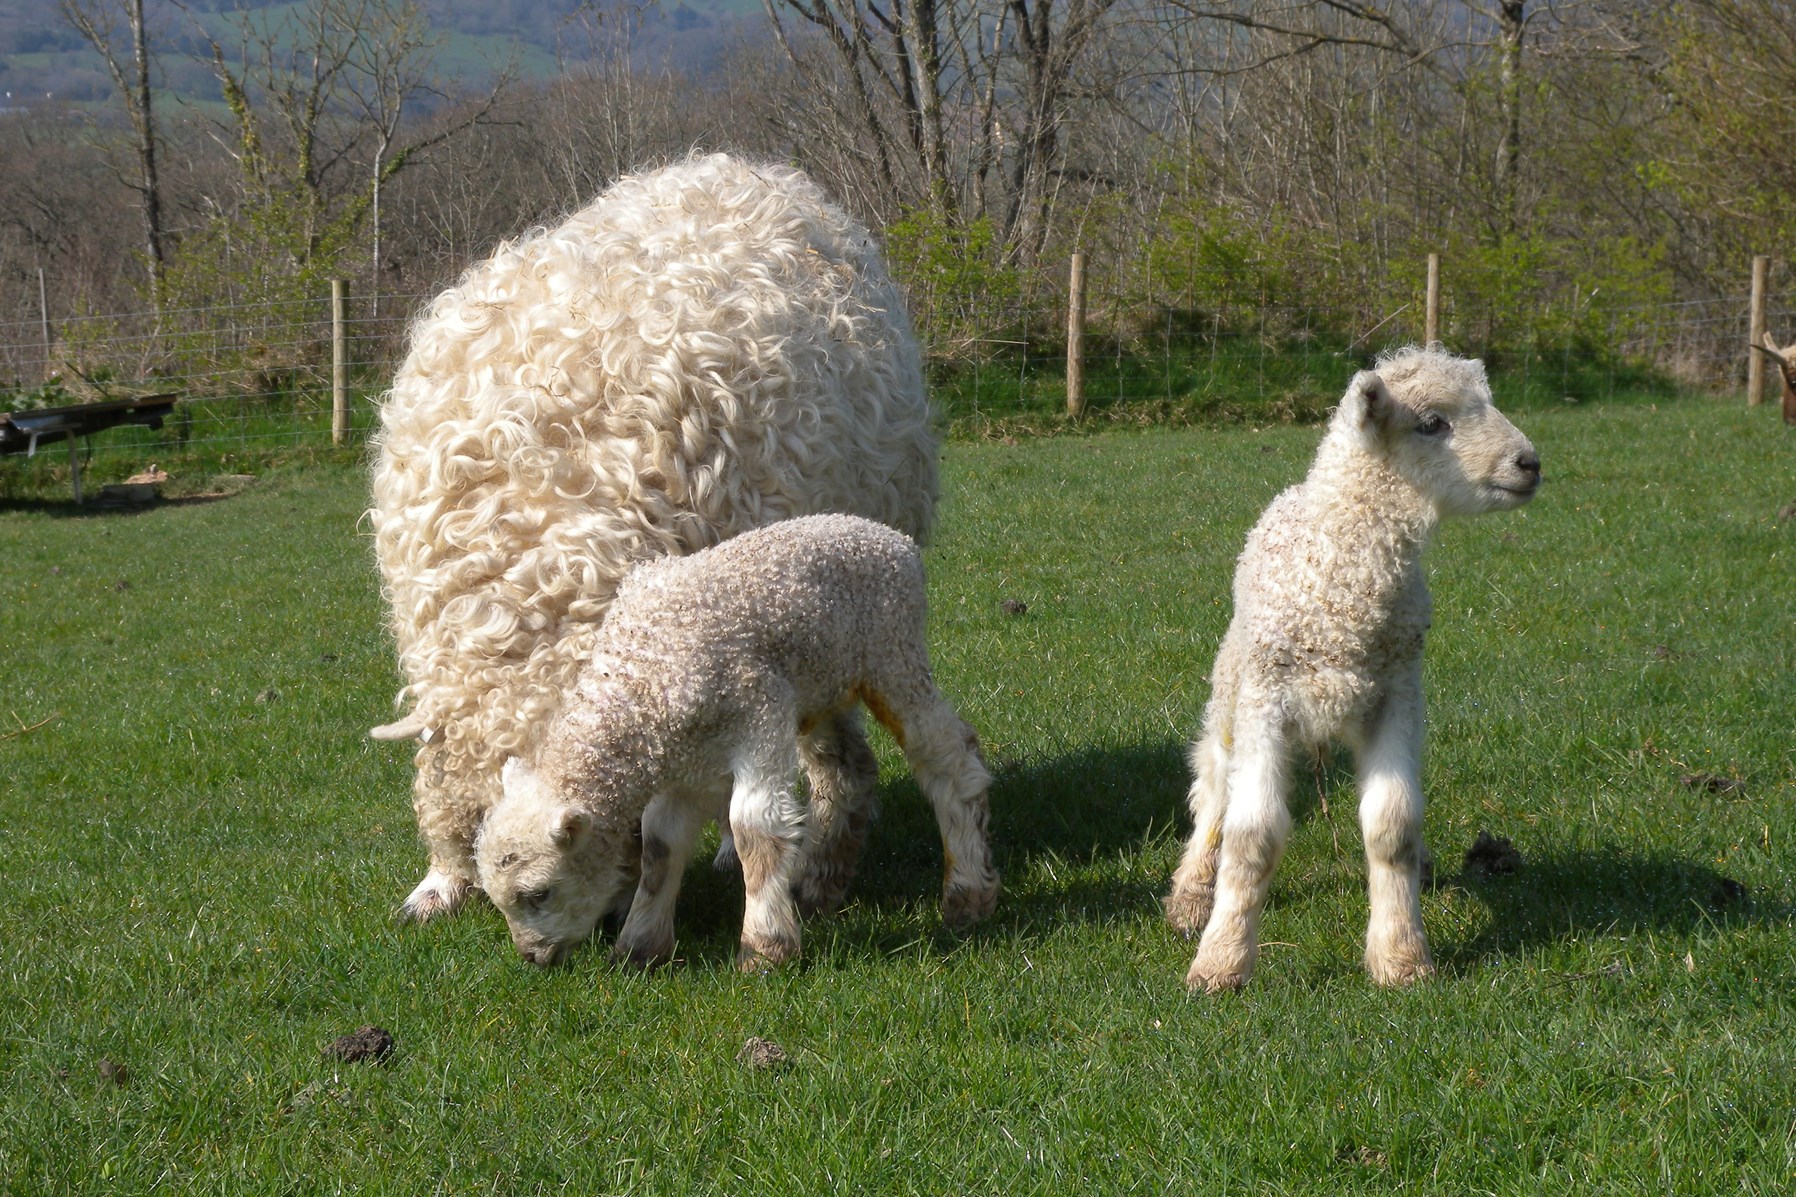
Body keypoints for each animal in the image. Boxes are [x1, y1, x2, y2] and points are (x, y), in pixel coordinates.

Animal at [475, 514, 1000, 969]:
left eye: (538, 892)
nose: (533, 957)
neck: (642, 682)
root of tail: (890, 537)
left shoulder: (759, 712)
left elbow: (754, 829)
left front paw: (765, 948)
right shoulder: (686, 763)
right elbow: (660, 844)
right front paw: (639, 947)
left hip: (894, 653)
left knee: (948, 759)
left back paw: (967, 894)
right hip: (822, 685)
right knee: (845, 771)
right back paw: (816, 886)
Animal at [1164, 346, 1541, 992]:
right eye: (1432, 423)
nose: (1530, 463)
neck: (1344, 586)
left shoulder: (1397, 694)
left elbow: (1392, 828)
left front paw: (1402, 957)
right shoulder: (1267, 700)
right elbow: (1252, 836)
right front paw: (1221, 962)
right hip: (1232, 690)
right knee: (1213, 789)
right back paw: (1192, 895)